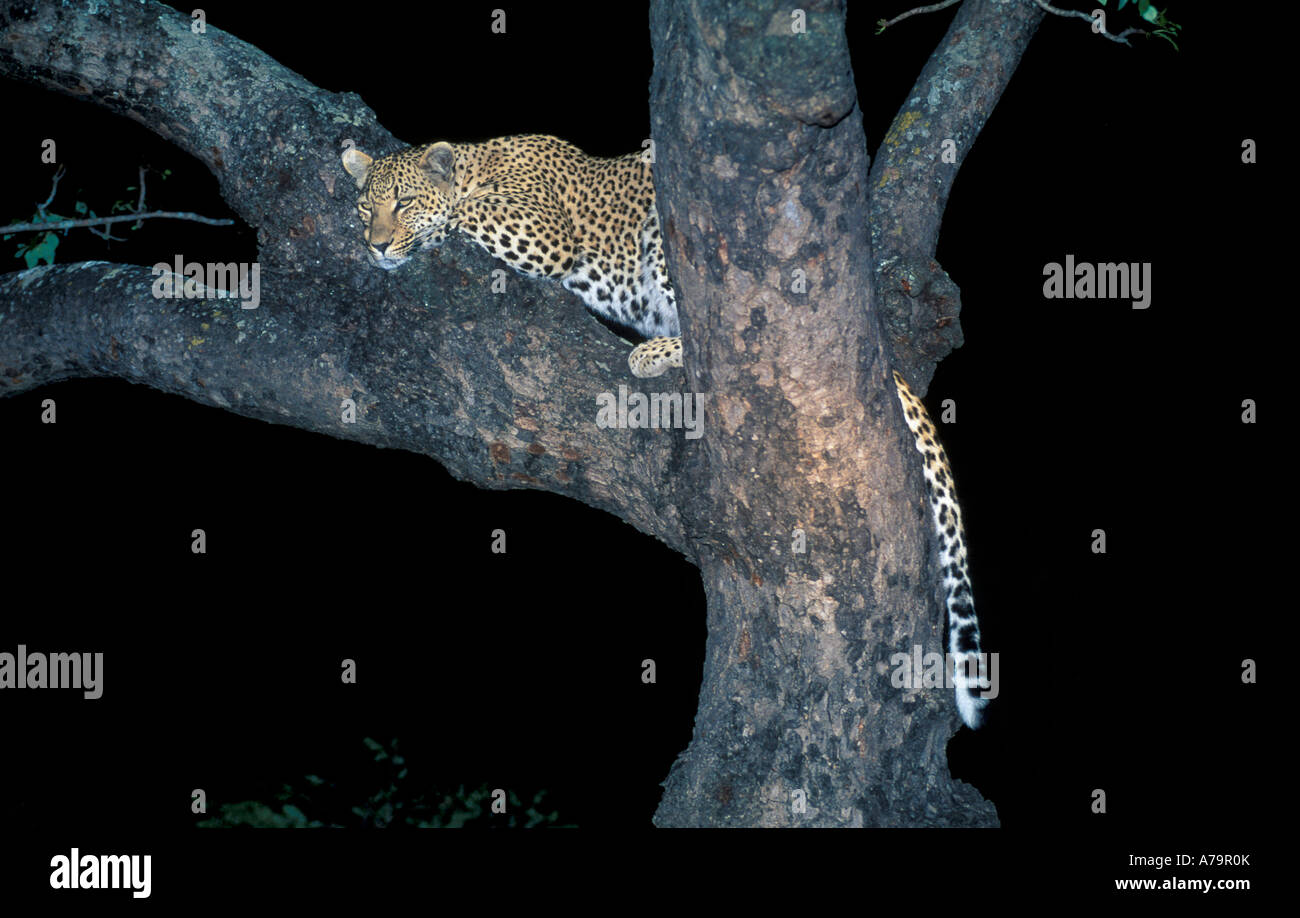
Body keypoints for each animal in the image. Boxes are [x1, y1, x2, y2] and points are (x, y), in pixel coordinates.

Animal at [341, 134, 988, 728]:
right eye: (365, 207)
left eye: (402, 203)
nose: (376, 246)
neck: (477, 162)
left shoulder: (546, 232)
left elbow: (462, 213)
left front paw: (434, 224)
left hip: (668, 231)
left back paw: (651, 353)